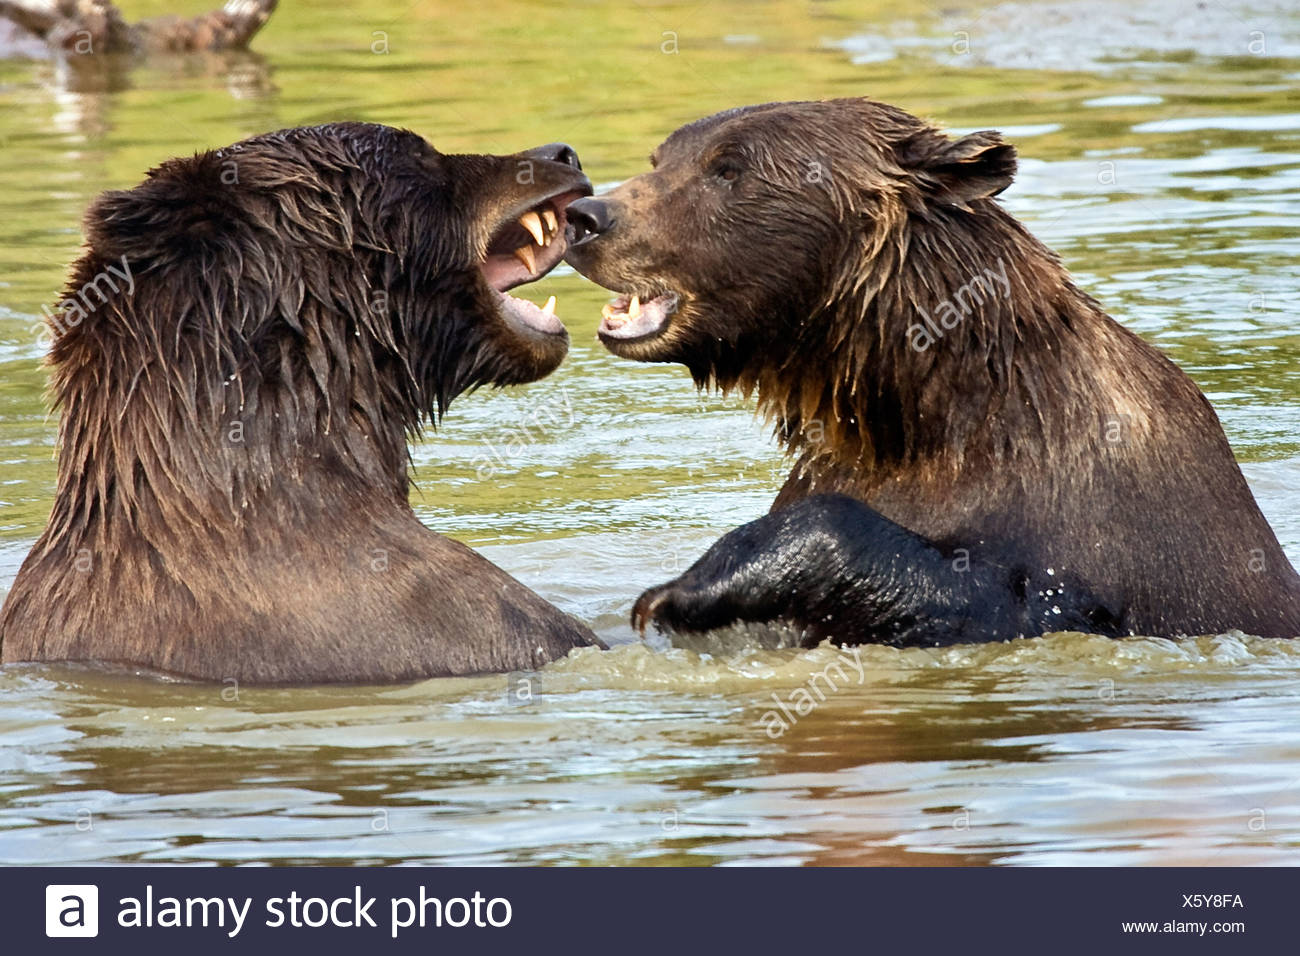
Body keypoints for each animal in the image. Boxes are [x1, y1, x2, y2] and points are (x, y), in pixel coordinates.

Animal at [563, 98, 1300, 646]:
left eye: (729, 167)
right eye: (663, 156)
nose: (587, 216)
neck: (920, 413)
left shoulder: (1098, 532)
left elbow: (1002, 599)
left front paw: (679, 590)